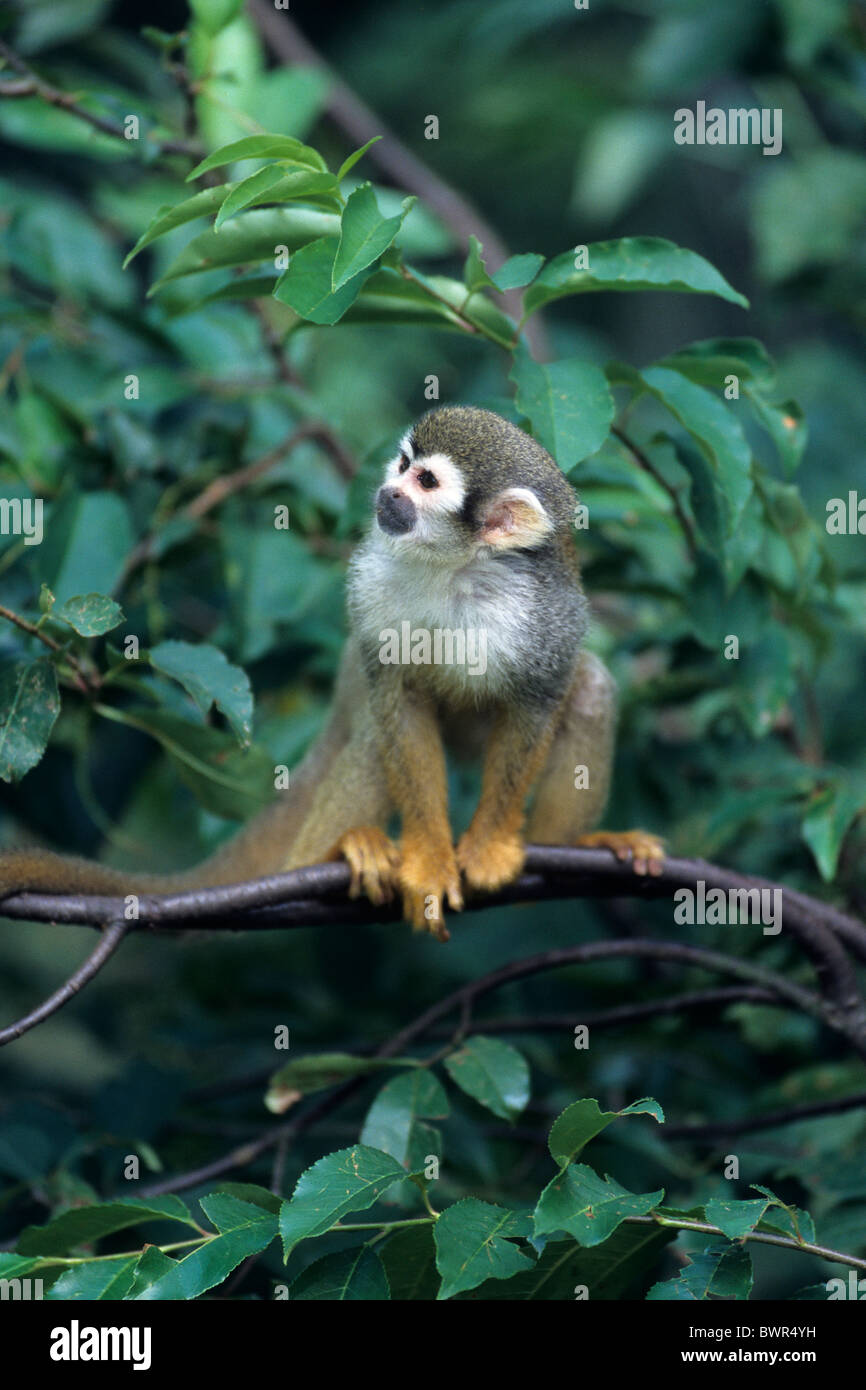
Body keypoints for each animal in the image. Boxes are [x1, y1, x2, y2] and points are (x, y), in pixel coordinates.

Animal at [0, 406, 663, 940]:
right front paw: (428, 861)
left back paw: (578, 846)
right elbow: (400, 702)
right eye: (403, 463)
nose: (388, 491)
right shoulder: (371, 583)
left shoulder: (543, 612)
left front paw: (492, 844)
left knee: (589, 687)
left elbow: (538, 700)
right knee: (372, 731)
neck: (456, 570)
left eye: (425, 482)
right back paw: (336, 855)